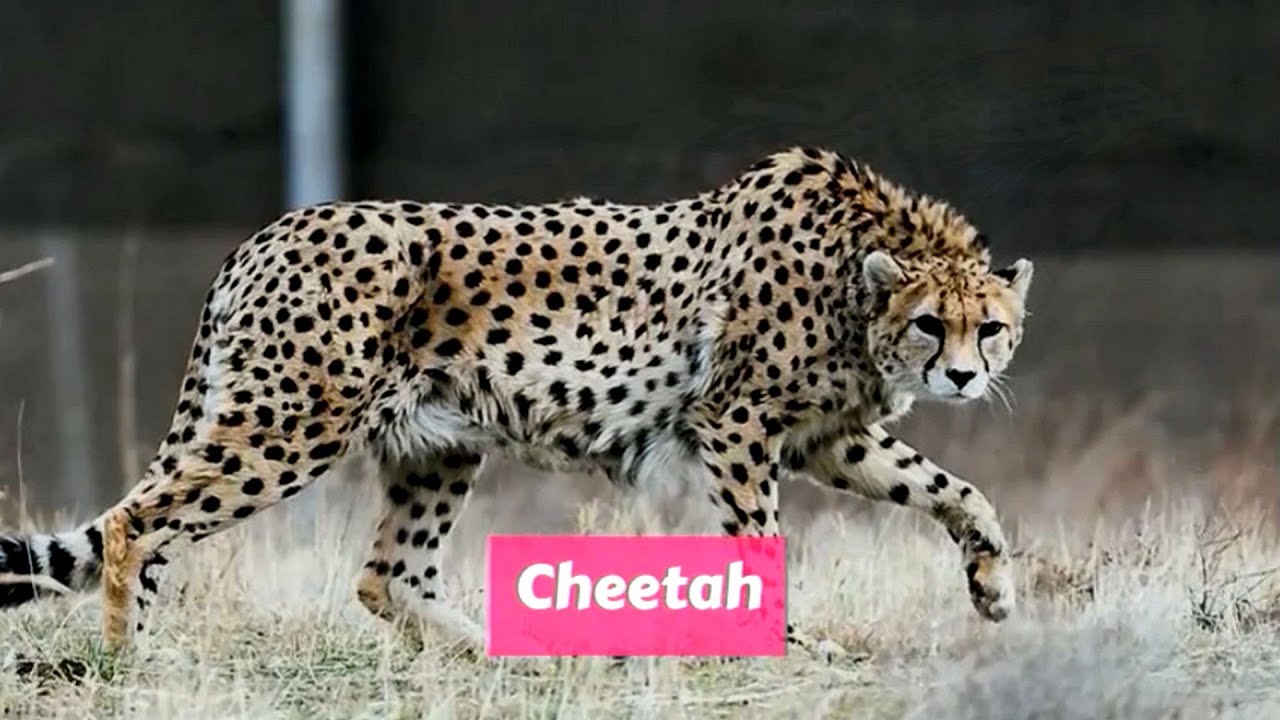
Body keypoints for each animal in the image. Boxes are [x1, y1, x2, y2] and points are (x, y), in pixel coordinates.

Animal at [0, 146, 1033, 659]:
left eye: (992, 328)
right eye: (931, 325)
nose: (962, 376)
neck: (862, 277)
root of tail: (264, 234)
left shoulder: (830, 438)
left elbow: (961, 491)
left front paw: (993, 587)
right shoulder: (736, 425)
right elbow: (764, 546)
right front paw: (783, 645)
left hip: (438, 440)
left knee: (387, 577)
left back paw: (513, 649)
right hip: (289, 425)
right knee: (136, 525)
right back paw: (134, 665)